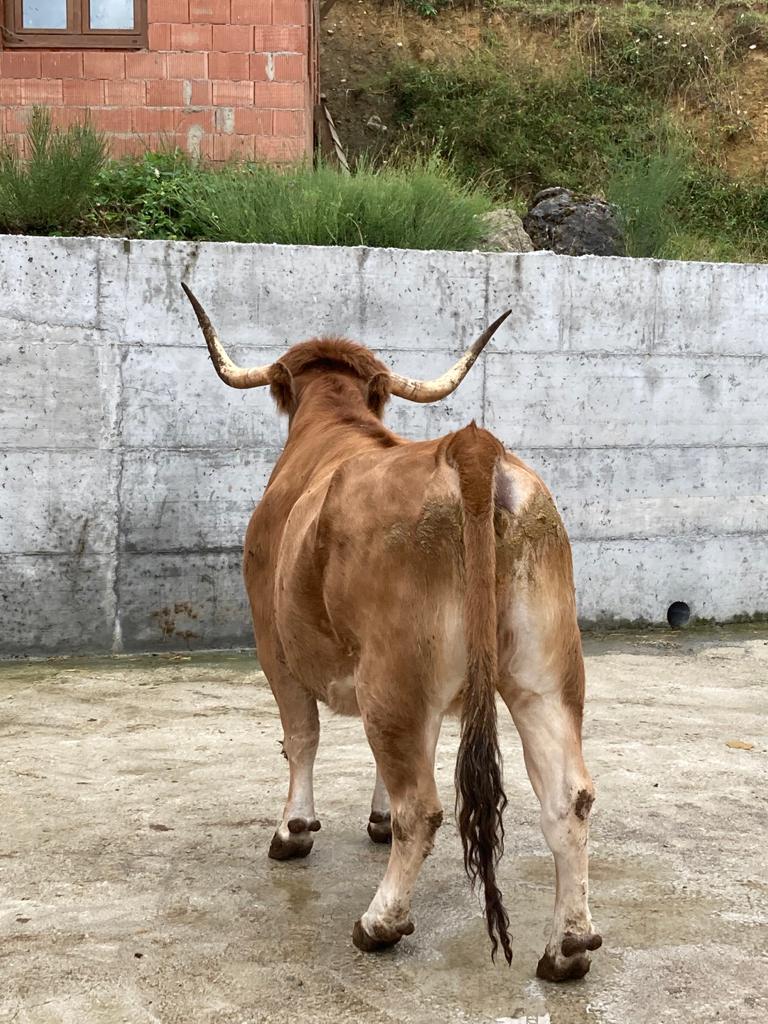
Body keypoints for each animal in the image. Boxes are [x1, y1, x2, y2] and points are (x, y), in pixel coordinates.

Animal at [181, 283, 602, 981]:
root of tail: (468, 448)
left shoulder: (274, 647)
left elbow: (301, 737)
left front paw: (293, 830)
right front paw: (370, 819)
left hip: (395, 674)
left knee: (422, 807)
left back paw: (379, 922)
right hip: (543, 675)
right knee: (568, 799)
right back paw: (567, 946)